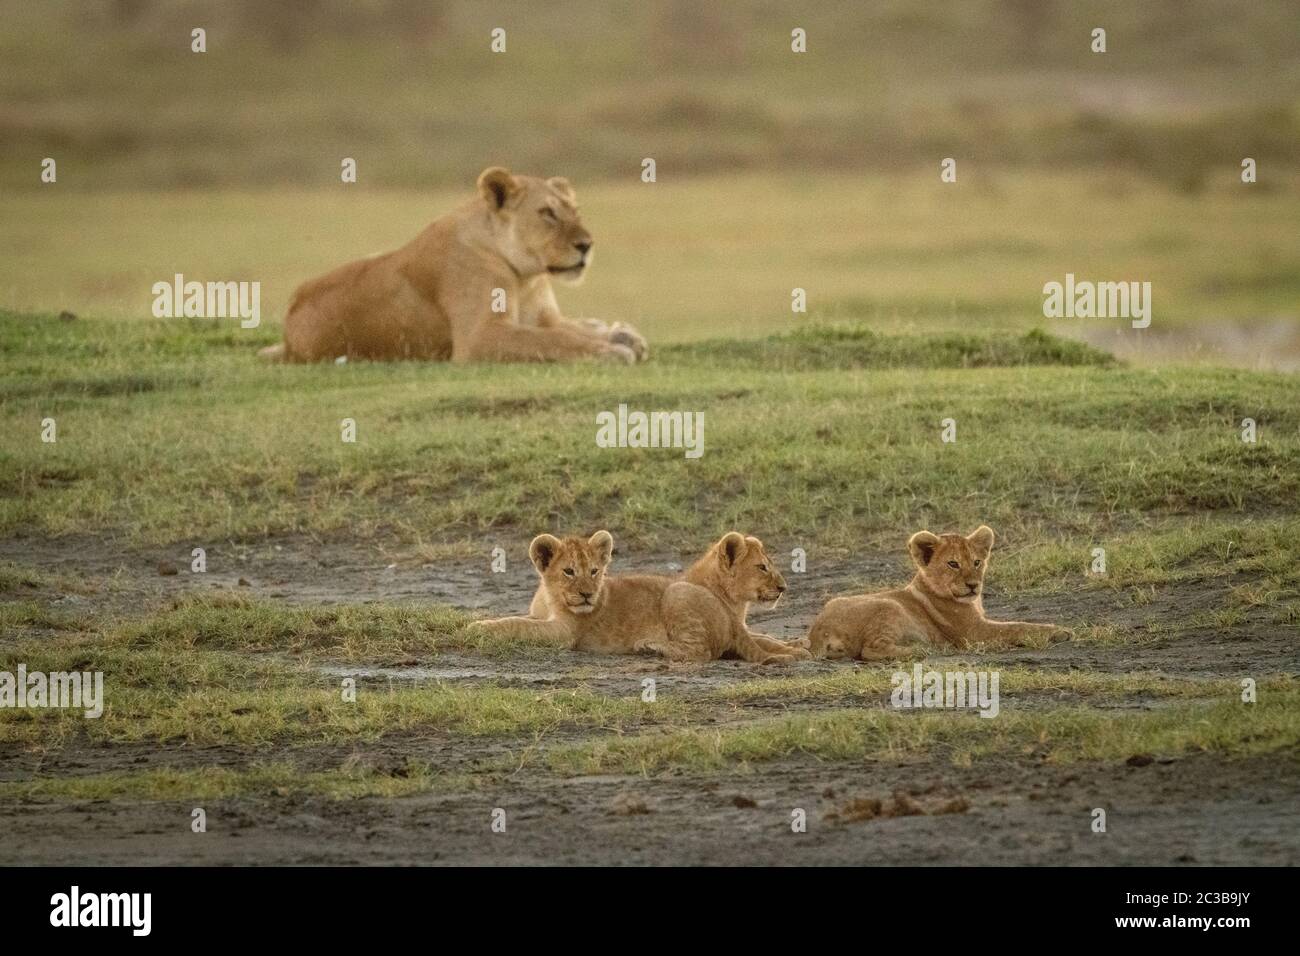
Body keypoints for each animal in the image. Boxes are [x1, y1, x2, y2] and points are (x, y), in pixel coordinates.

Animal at [259, 167, 649, 364]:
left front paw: (621, 336)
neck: (525, 277)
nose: (587, 245)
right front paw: (612, 350)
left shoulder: (543, 316)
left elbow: (562, 330)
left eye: (575, 211)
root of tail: (288, 331)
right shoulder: (479, 338)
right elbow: (553, 341)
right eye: (547, 213)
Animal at [474, 530, 808, 664]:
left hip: (676, 594)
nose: (587, 595)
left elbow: (518, 624)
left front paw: (477, 628)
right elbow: (519, 620)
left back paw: (651, 647)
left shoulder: (565, 633)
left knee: (699, 652)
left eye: (594, 572)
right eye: (569, 572)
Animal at [806, 526, 1067, 660]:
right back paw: (925, 649)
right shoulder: (974, 633)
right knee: (871, 650)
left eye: (977, 562)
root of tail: (818, 631)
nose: (973, 585)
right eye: (953, 564)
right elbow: (1017, 626)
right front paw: (1061, 631)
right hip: (888, 605)